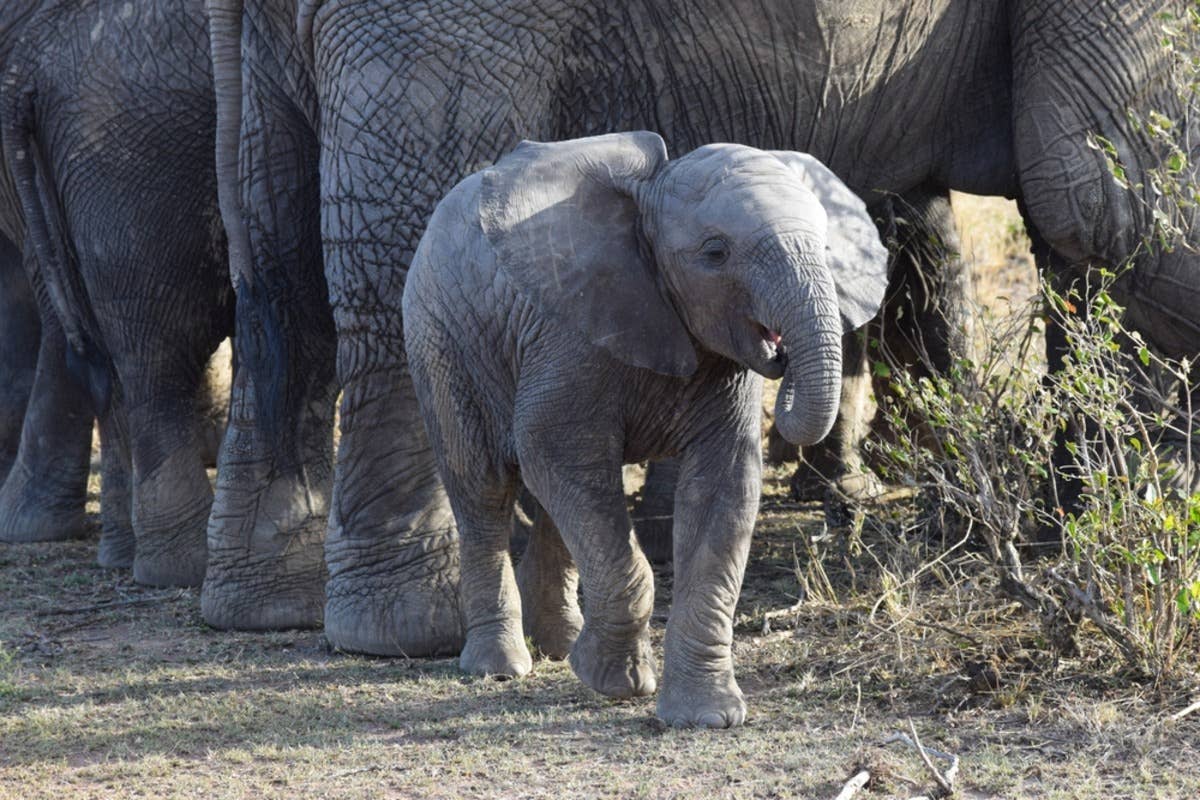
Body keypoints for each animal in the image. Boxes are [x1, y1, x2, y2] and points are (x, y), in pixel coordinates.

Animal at [205, 0, 1200, 655]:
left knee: (276, 262)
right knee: (391, 247)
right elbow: (1109, 190)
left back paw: (265, 606)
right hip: (444, 31)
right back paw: (415, 631)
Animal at [404, 132, 890, 726]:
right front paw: (618, 683)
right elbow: (553, 451)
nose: (780, 354)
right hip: (439, 335)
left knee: (553, 504)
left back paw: (559, 648)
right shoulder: (572, 333)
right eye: (715, 253)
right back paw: (502, 667)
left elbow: (723, 488)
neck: (649, 196)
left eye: (826, 249)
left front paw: (706, 717)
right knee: (483, 488)